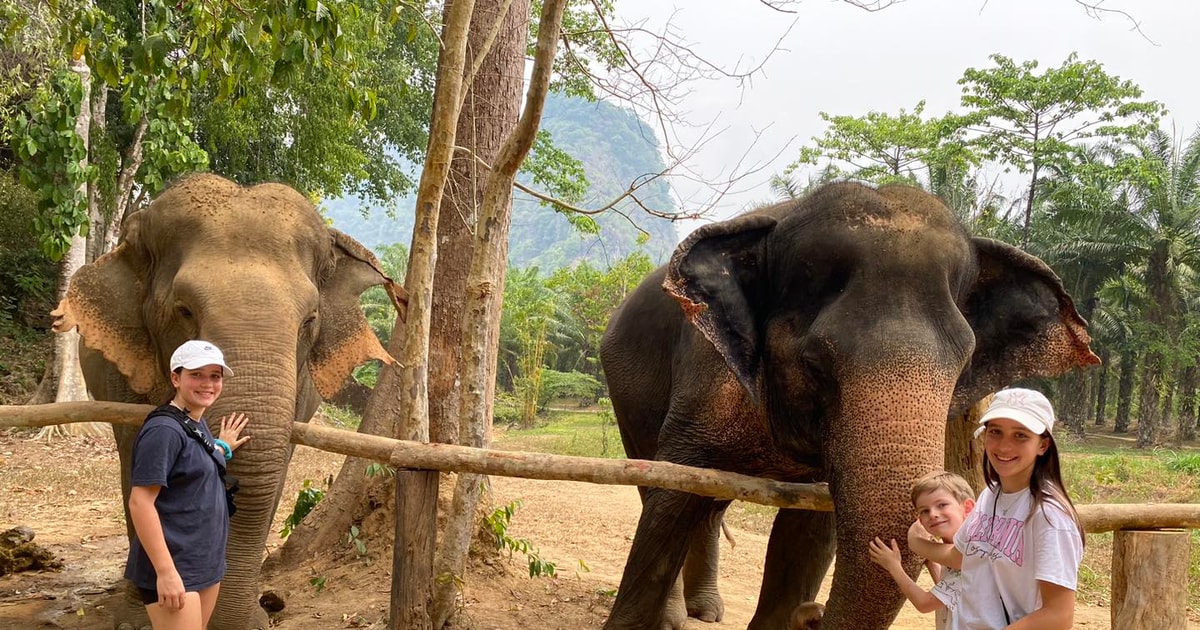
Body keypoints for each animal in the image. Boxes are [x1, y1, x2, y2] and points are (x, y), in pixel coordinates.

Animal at [51, 173, 406, 630]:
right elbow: (136, 468)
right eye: (183, 310)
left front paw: (253, 616)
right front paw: (137, 616)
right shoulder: (124, 375)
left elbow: (274, 471)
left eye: (309, 320)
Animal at [599, 182, 1099, 630]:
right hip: (625, 390)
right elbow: (670, 496)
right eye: (814, 364)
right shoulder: (706, 374)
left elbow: (810, 533)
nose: (813, 614)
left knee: (712, 504)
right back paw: (678, 618)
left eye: (961, 369)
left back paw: (706, 613)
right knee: (663, 482)